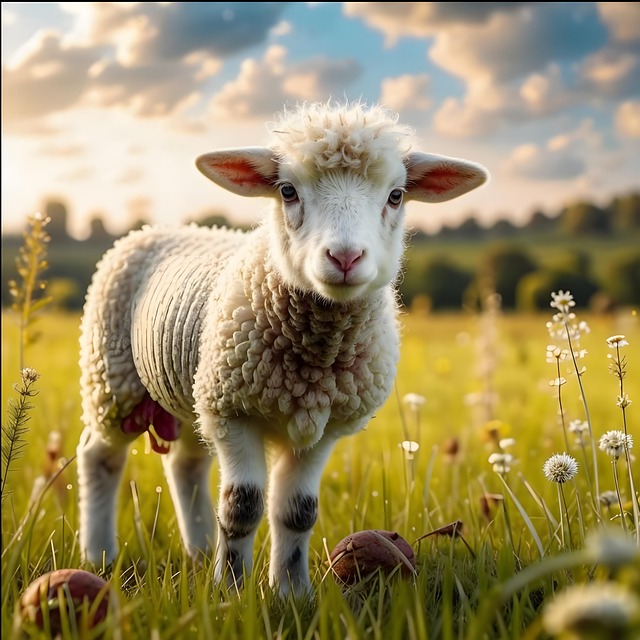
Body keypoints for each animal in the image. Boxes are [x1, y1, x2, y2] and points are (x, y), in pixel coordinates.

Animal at [76, 100, 488, 598]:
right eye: (287, 191)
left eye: (396, 196)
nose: (345, 258)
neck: (313, 363)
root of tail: (156, 228)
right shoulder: (233, 412)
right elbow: (242, 507)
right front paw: (231, 591)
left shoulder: (324, 429)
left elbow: (297, 511)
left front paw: (291, 592)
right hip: (113, 379)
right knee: (100, 456)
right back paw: (99, 554)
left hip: (192, 395)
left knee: (185, 464)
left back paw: (199, 551)